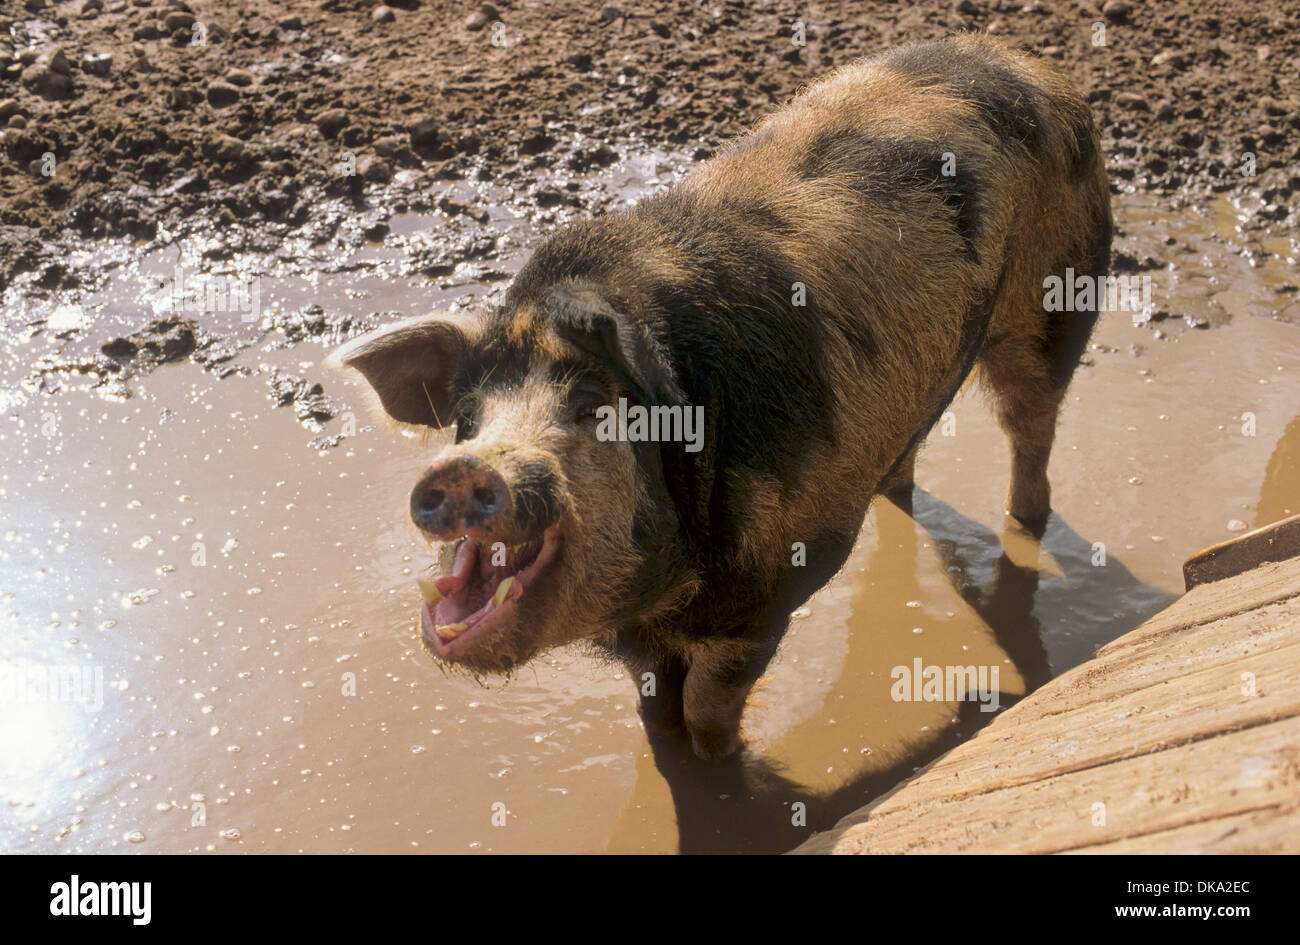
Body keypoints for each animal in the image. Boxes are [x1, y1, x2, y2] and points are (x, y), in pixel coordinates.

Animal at [328, 35, 1112, 760]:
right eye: (467, 418)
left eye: (593, 410)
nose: (464, 467)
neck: (660, 593)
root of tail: (1028, 64)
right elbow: (655, 713)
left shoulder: (762, 599)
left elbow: (708, 708)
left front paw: (728, 771)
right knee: (910, 455)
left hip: (1056, 298)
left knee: (1032, 426)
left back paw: (1027, 526)